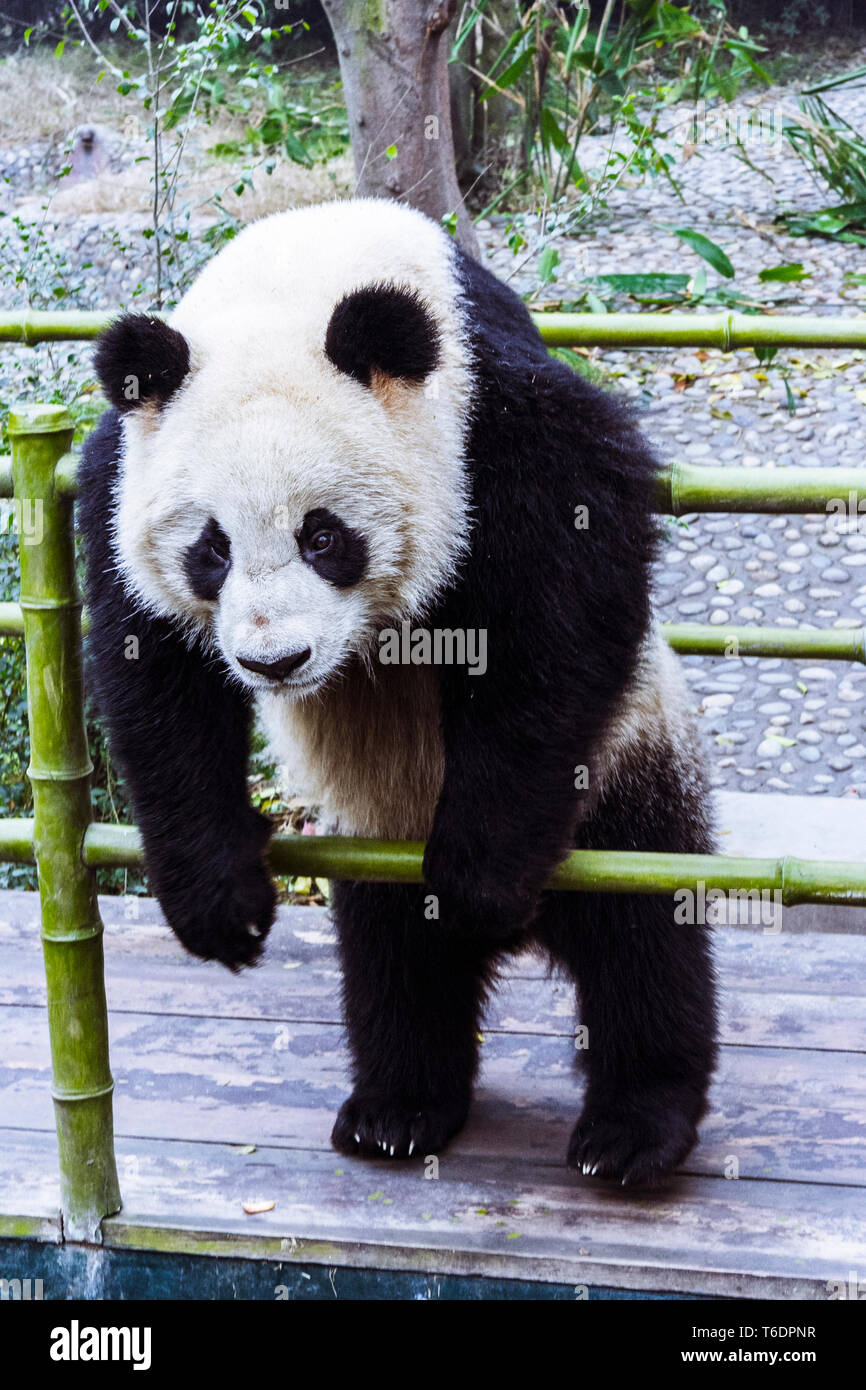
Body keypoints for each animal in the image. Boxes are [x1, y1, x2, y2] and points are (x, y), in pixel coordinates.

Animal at [78, 198, 716, 1185]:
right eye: (211, 549)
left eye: (323, 536)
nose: (276, 661)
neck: (304, 268)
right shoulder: (124, 472)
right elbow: (154, 670)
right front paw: (223, 908)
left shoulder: (495, 423)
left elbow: (563, 606)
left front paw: (479, 878)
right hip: (374, 834)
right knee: (391, 964)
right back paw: (400, 1107)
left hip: (625, 767)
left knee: (643, 938)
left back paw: (632, 1128)